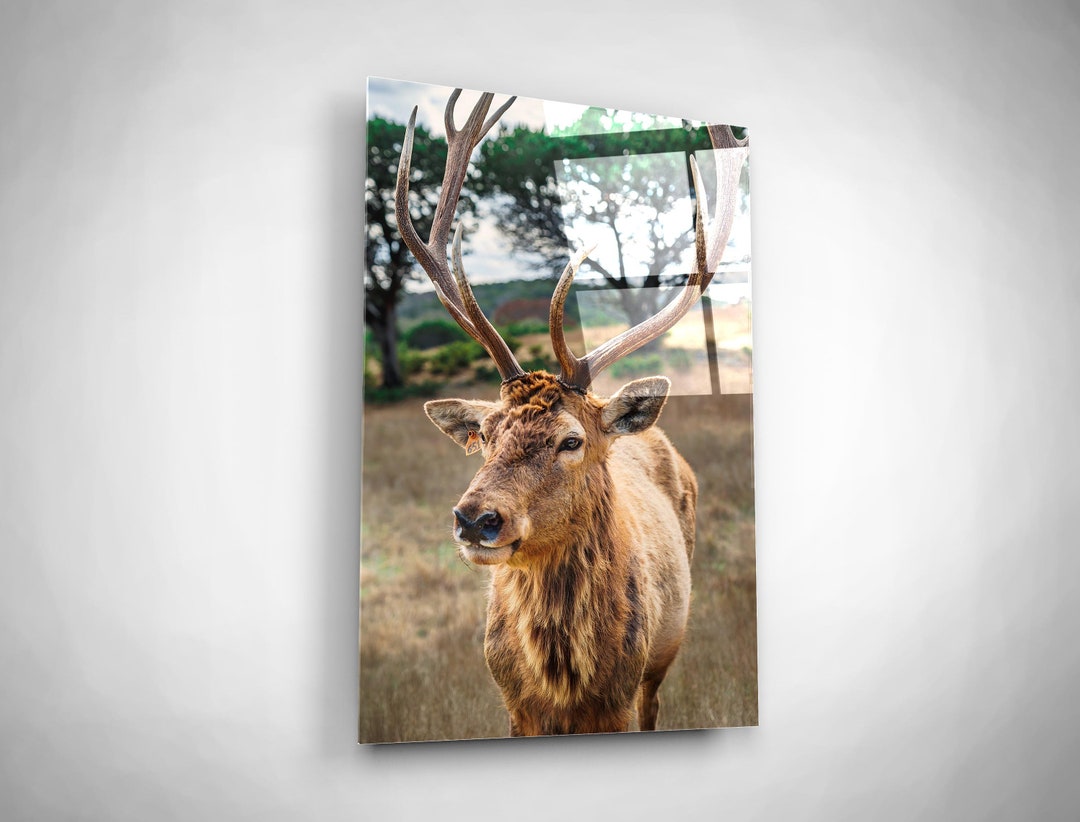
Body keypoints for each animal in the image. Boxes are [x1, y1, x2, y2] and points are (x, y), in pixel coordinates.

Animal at [392, 89, 745, 736]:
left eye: (571, 439)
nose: (475, 519)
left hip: (664, 655)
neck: (564, 683)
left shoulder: (622, 697)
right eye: (485, 433)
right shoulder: (513, 707)